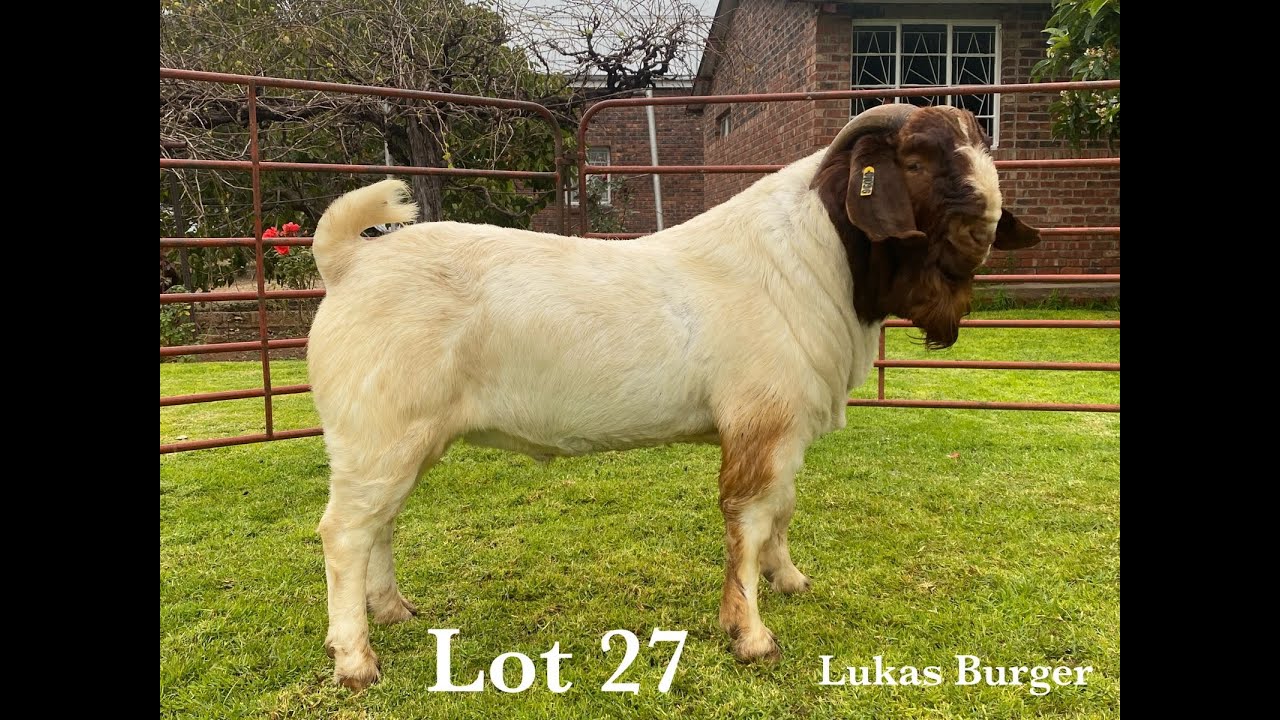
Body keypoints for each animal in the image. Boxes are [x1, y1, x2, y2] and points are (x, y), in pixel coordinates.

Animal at [306, 104, 1042, 690]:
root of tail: (349, 264)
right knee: (345, 532)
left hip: (405, 440)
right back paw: (356, 661)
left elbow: (784, 508)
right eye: (915, 159)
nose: (982, 228)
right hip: (378, 434)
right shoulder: (758, 423)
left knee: (381, 525)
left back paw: (394, 610)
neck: (806, 262)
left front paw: (790, 579)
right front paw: (752, 635)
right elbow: (750, 519)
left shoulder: (785, 428)